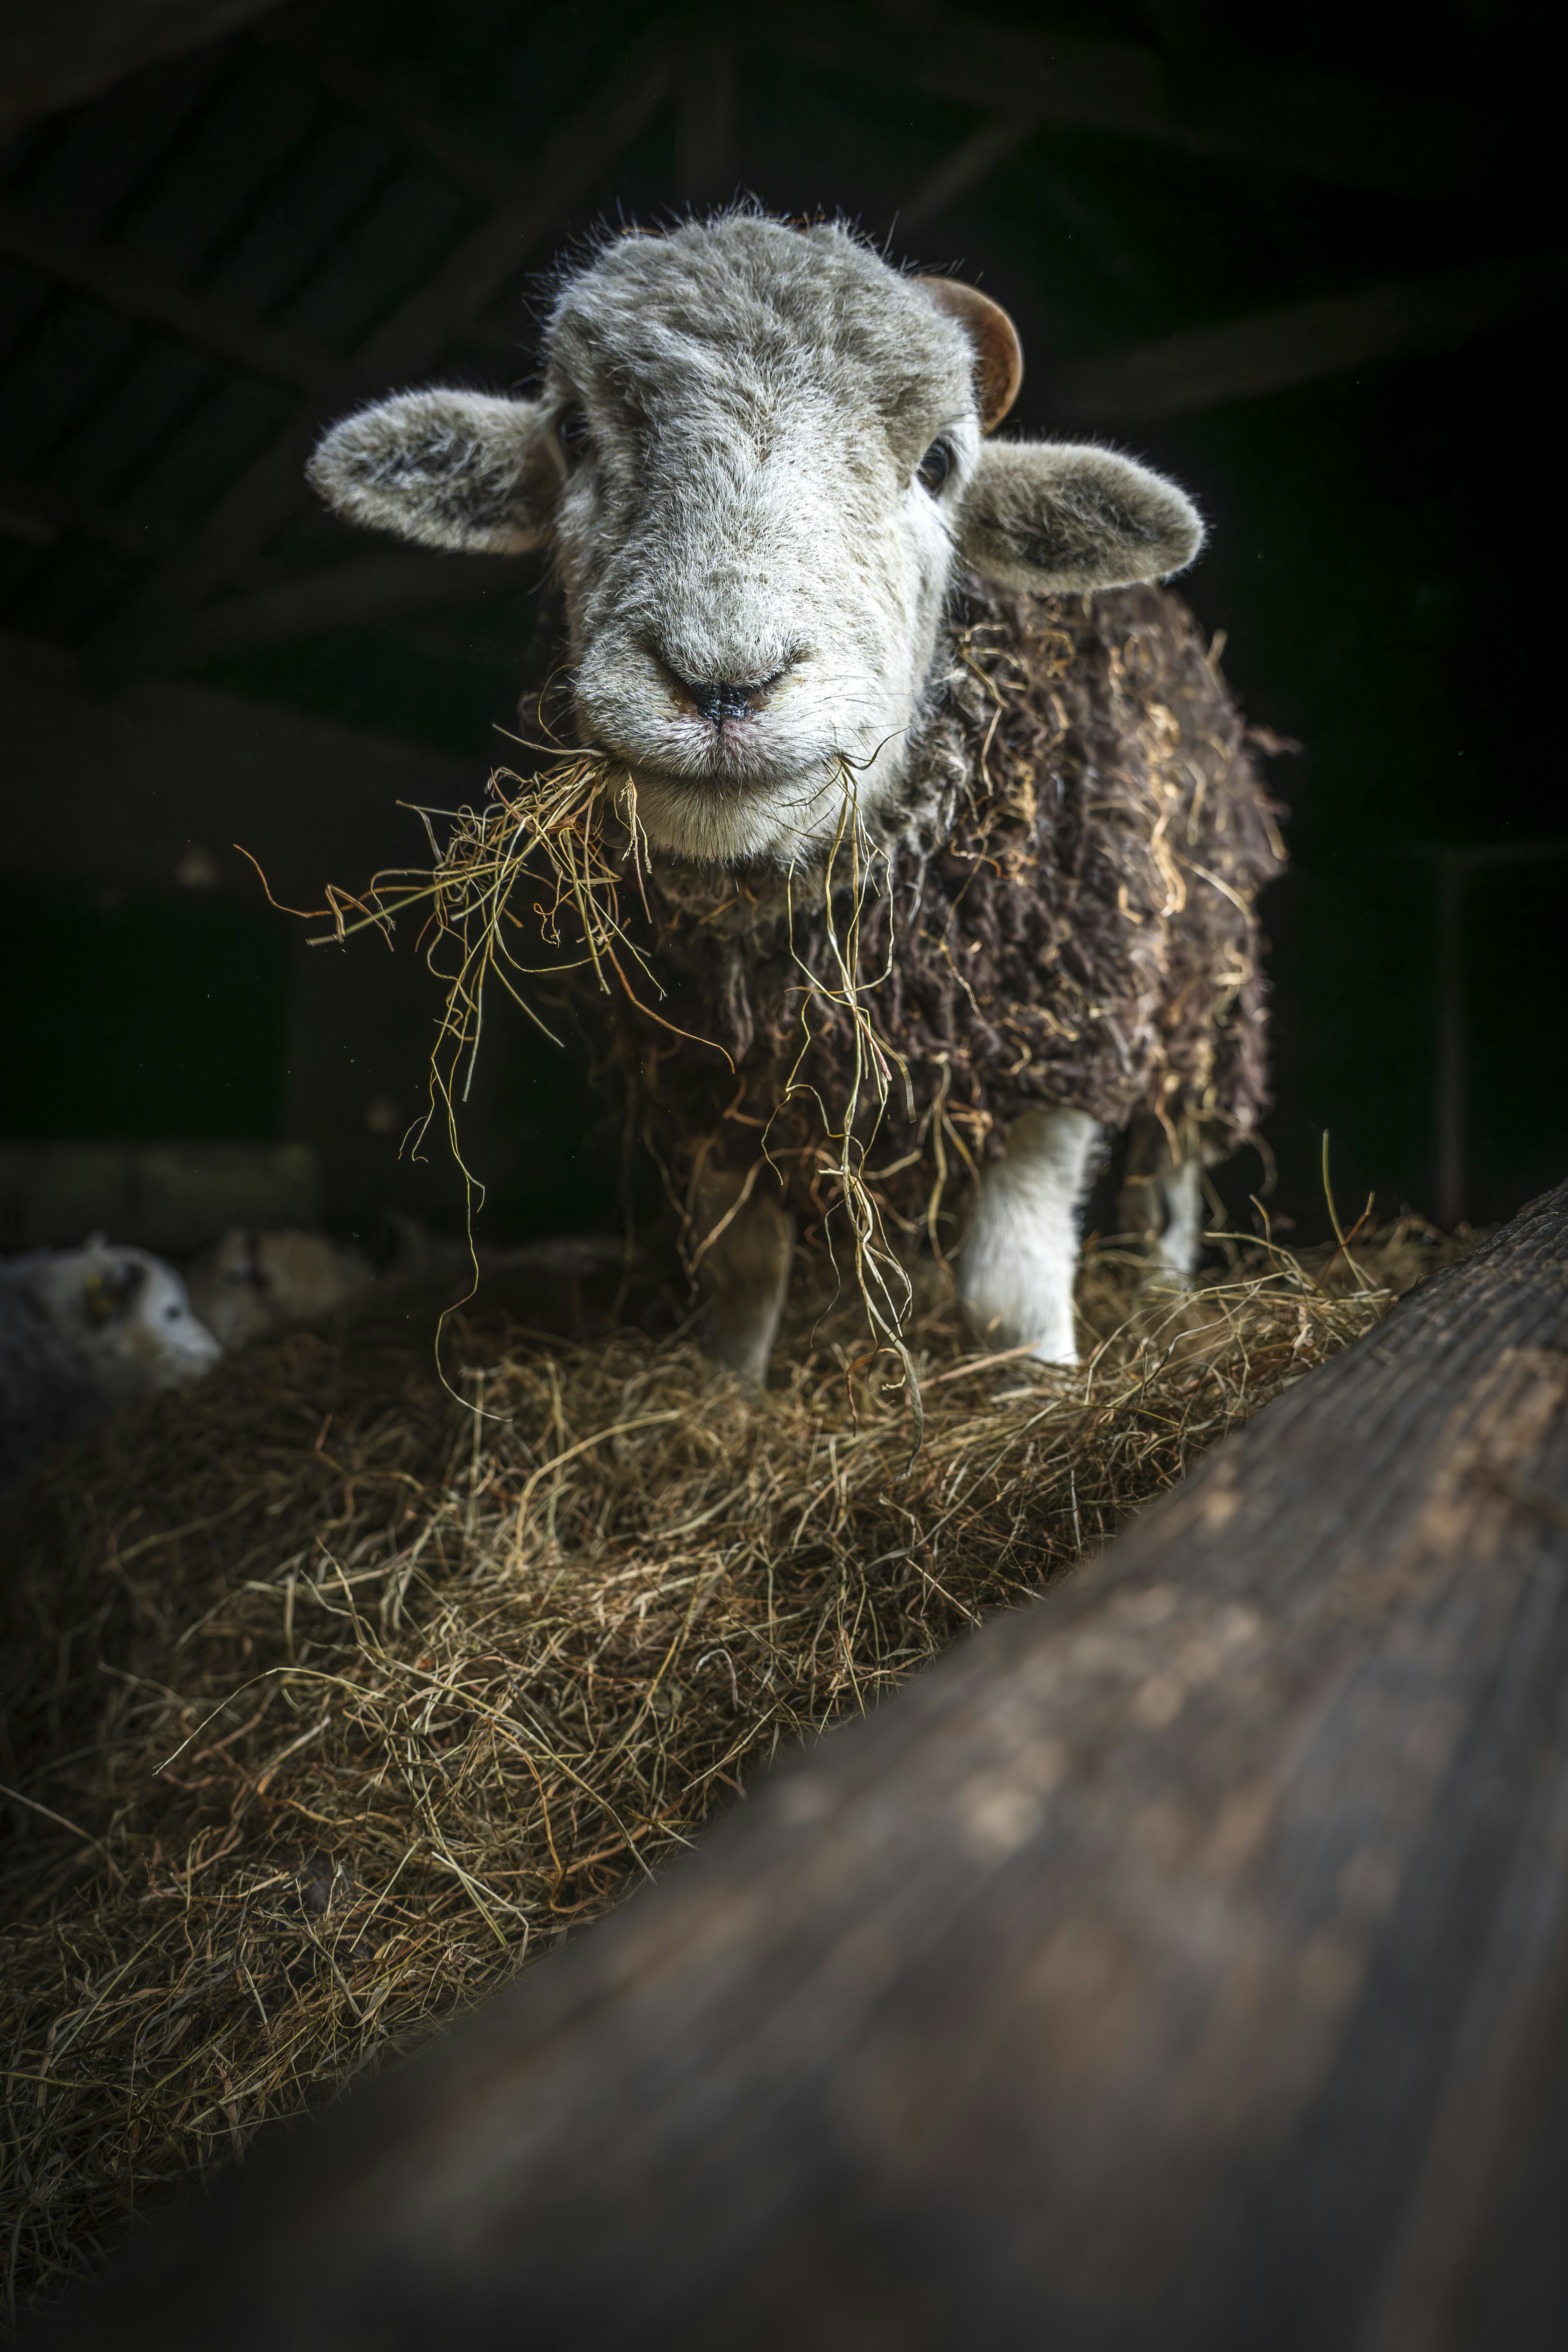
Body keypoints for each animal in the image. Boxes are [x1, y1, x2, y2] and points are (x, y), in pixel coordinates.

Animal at [308, 211, 1286, 1381]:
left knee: (1171, 1169)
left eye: (940, 462)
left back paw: (1164, 1291)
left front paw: (1039, 1384)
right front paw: (727, 1387)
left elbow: (1006, 1290)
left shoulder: (1062, 1034)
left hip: (1205, 1005)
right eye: (573, 434)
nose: (723, 681)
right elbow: (742, 1274)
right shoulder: (709, 1079)